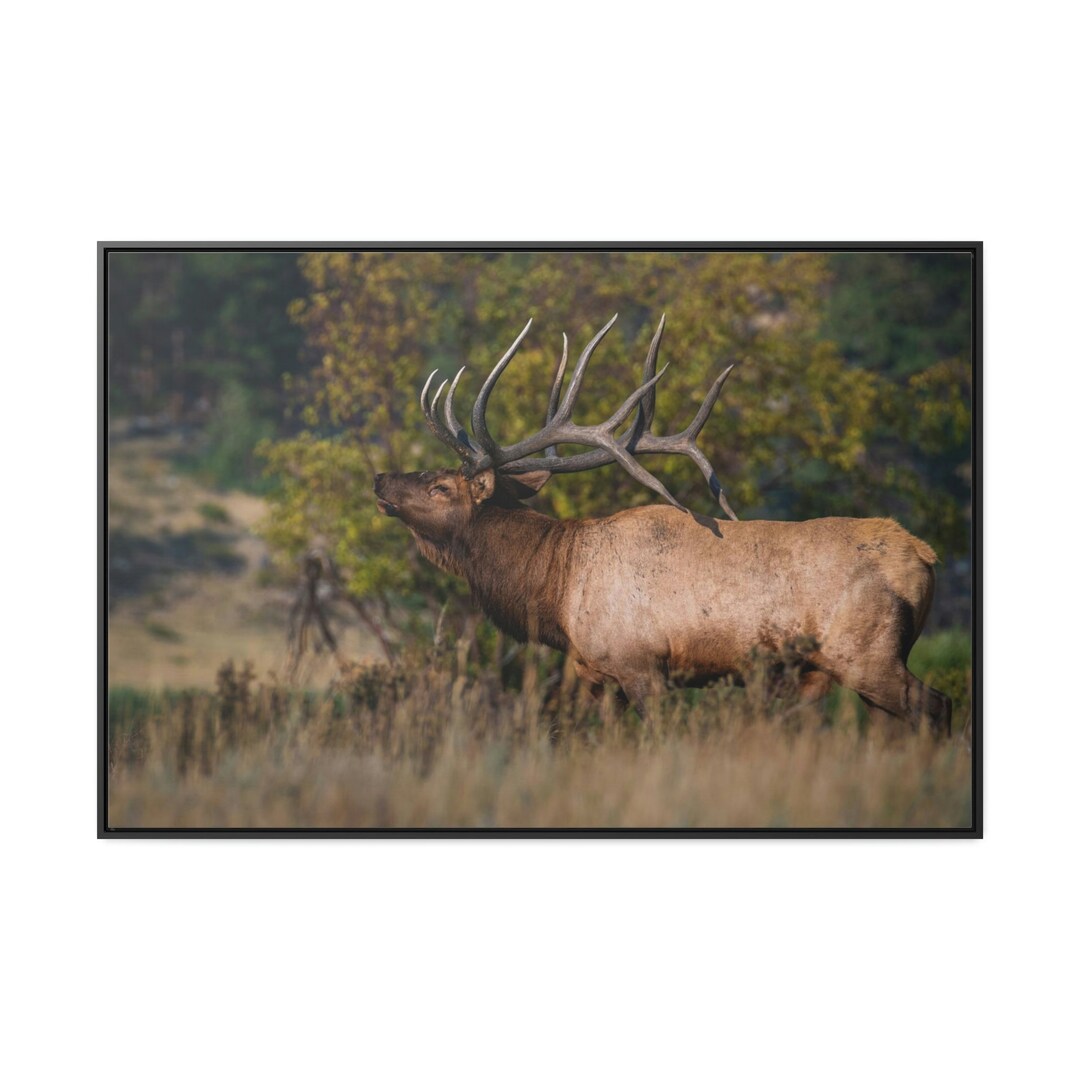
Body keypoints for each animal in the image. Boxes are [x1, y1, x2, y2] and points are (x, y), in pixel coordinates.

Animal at [373, 315, 952, 737]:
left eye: (441, 486)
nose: (380, 479)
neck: (555, 589)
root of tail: (924, 556)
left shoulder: (641, 665)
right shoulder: (596, 675)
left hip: (865, 653)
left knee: (937, 705)